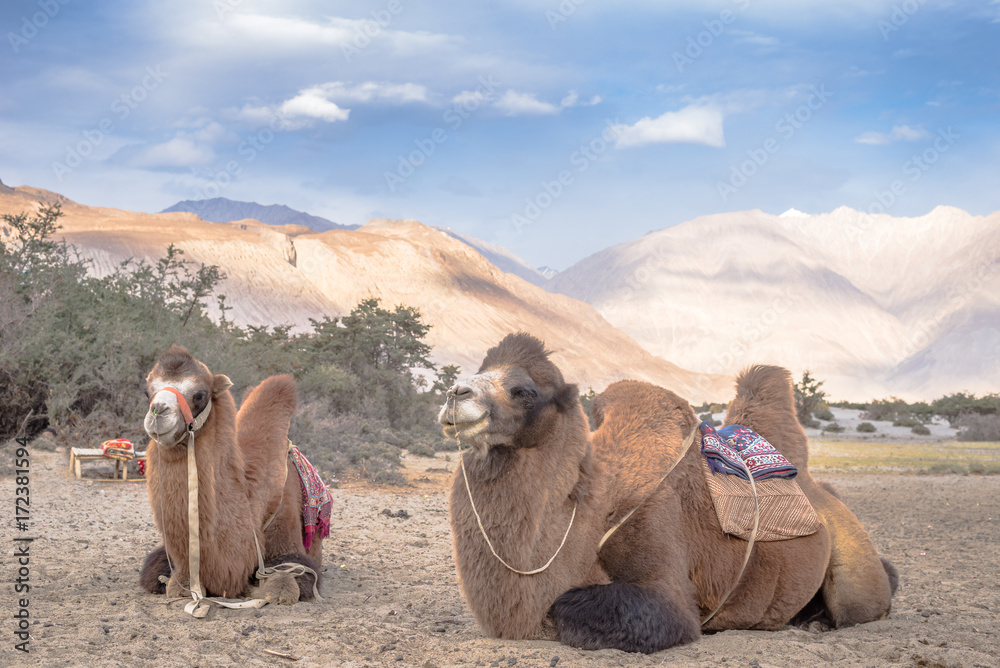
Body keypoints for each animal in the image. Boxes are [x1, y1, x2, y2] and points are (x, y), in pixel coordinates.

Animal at [138, 345, 323, 605]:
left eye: (199, 394)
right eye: (147, 392)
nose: (157, 412)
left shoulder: (286, 532)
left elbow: (285, 581)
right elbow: (165, 575)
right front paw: (179, 584)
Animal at [439, 333, 898, 653]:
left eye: (525, 391)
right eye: (480, 368)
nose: (455, 393)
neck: (590, 516)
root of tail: (820, 490)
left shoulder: (658, 548)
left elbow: (570, 604)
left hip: (852, 563)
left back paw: (820, 621)